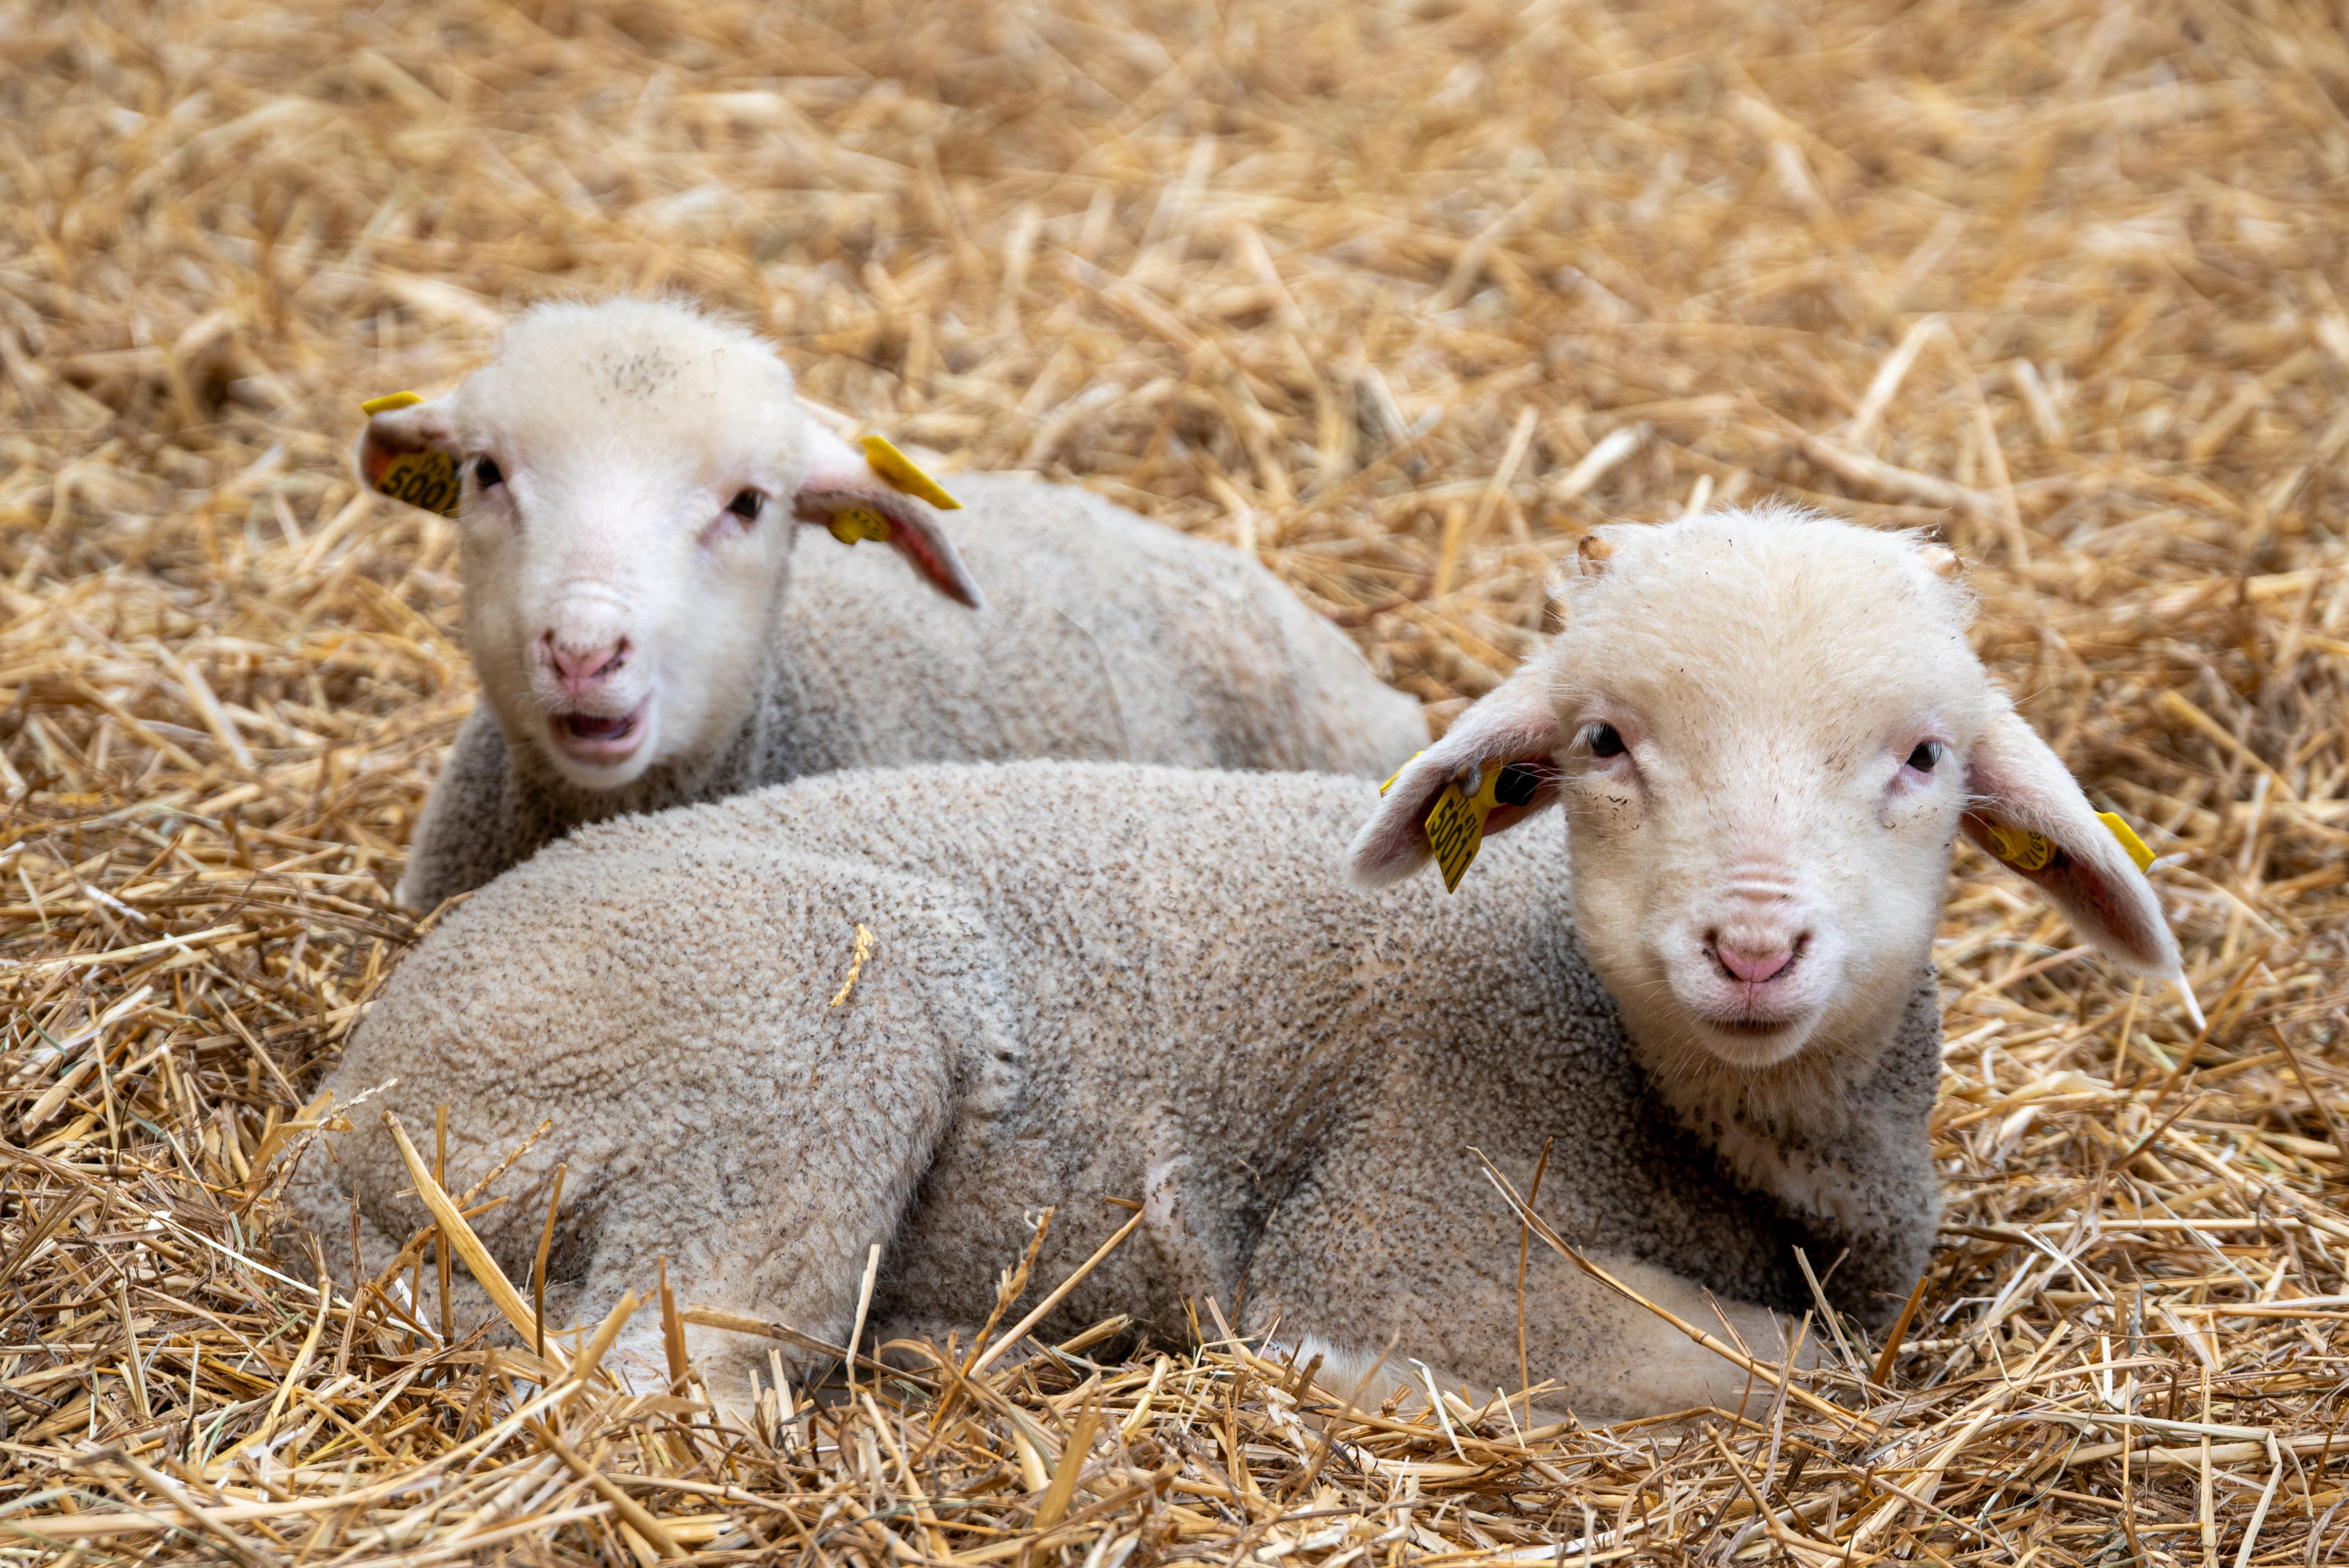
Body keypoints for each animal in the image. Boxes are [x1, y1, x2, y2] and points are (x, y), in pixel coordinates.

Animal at [294, 506, 2179, 1421]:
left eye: (1925, 758)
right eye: (1603, 741)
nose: (1754, 939)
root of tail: (330, 1115)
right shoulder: (1409, 1219)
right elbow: (1787, 1372)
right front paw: (1343, 1376)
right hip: (804, 1025)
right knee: (656, 1369)